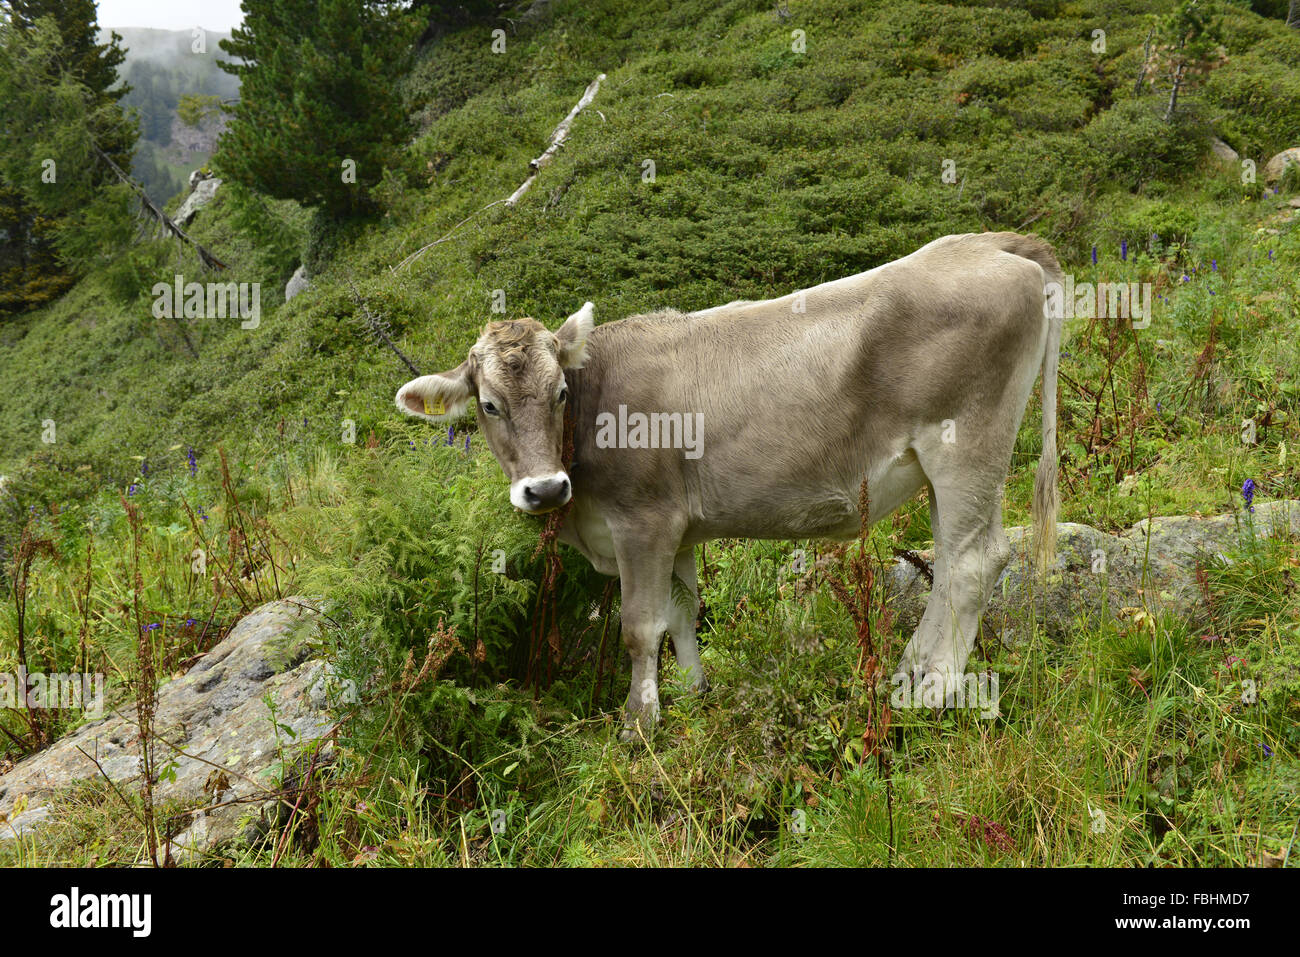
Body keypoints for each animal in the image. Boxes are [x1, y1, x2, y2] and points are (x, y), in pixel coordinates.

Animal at [396, 231, 1062, 736]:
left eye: (560, 392)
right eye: (489, 406)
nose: (545, 490)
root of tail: (984, 242)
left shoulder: (643, 522)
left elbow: (641, 627)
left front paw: (639, 724)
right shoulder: (679, 530)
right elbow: (683, 614)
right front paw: (694, 694)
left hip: (966, 447)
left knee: (972, 562)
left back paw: (930, 696)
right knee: (953, 561)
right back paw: (912, 669)